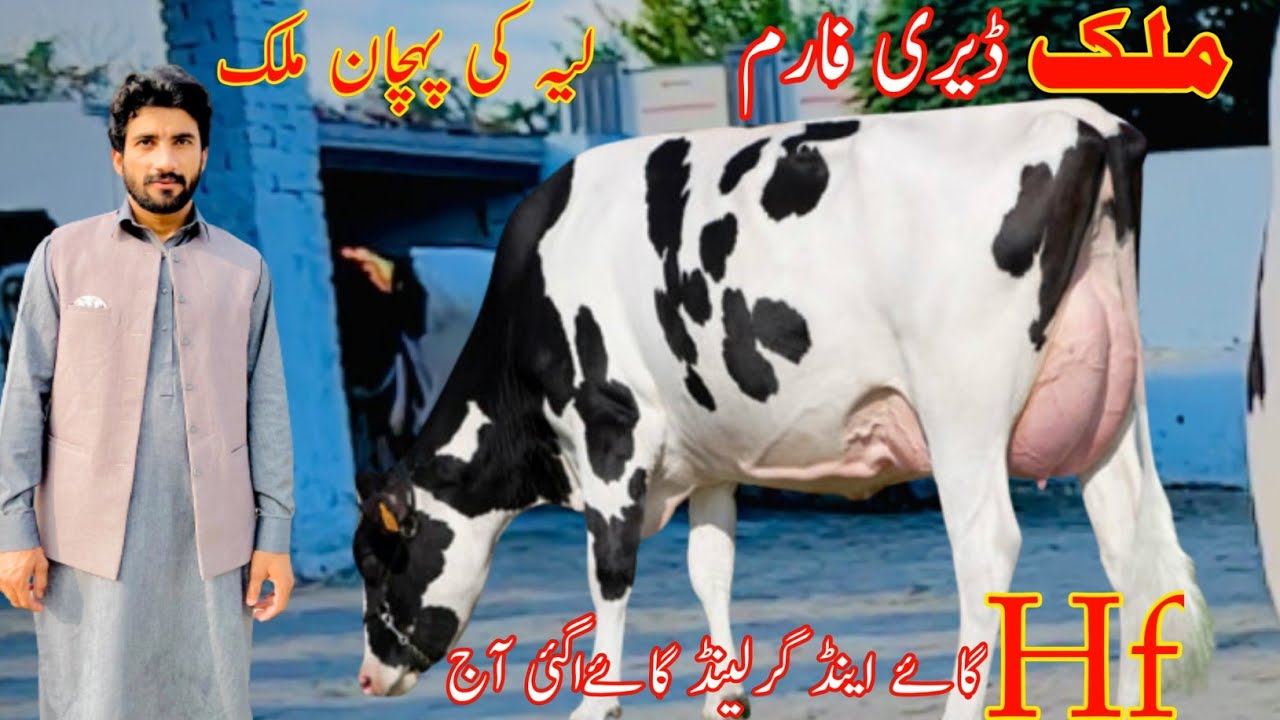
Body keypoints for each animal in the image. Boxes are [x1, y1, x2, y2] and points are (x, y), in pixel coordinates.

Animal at [351, 97, 1214, 720]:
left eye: (375, 558)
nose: (366, 677)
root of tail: (1090, 121)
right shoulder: (708, 456)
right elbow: (710, 568)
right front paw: (725, 695)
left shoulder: (609, 434)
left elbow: (610, 572)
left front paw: (595, 706)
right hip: (1106, 415)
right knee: (1126, 550)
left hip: (962, 410)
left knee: (987, 552)